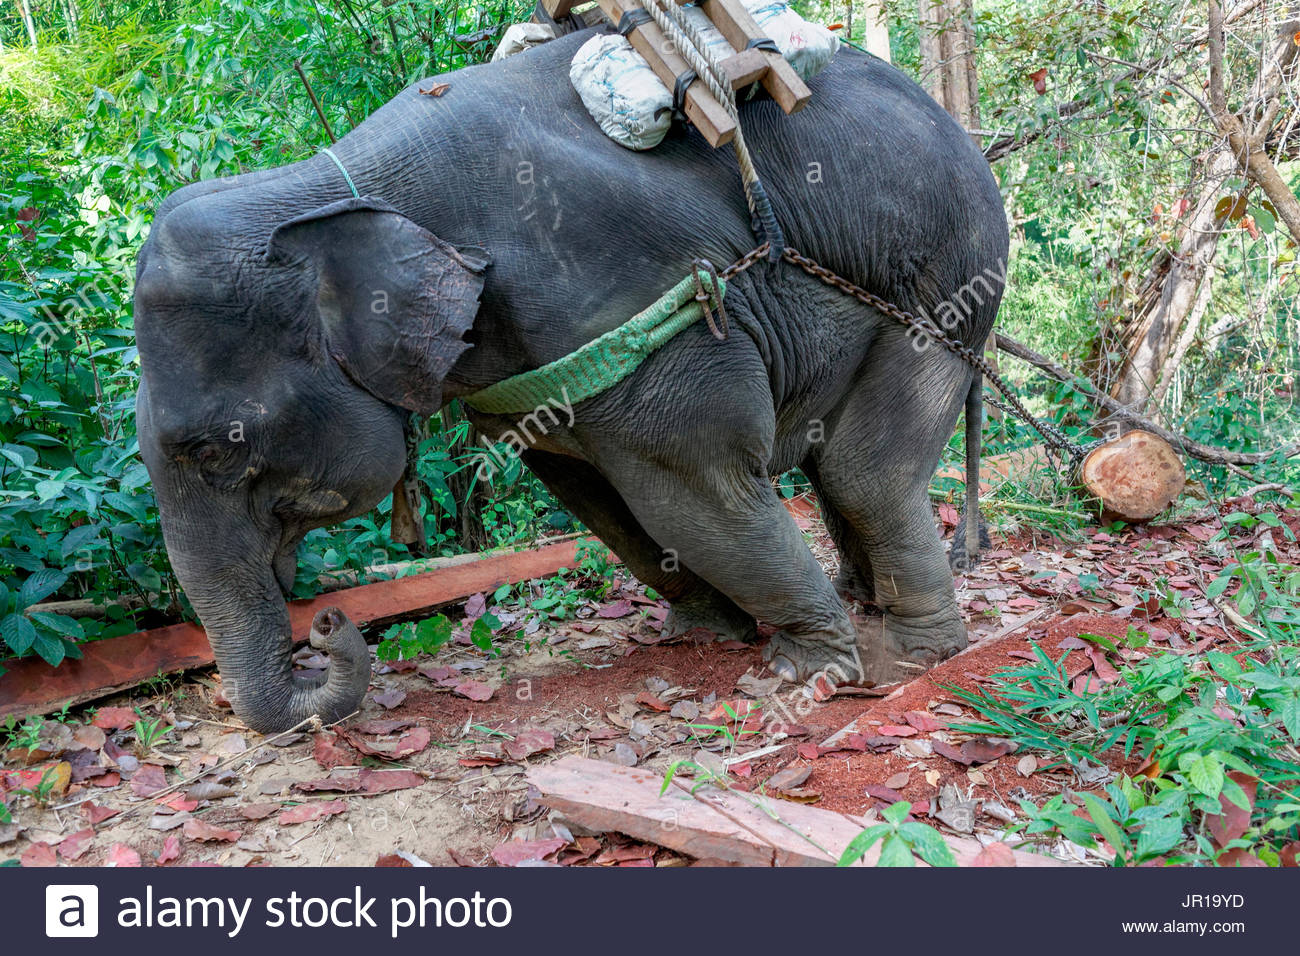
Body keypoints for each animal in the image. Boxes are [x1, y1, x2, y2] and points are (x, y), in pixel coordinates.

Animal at [132, 27, 1008, 733]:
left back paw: (919, 652)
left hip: (948, 274)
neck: (324, 186)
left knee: (864, 471)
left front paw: (807, 667)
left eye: (213, 450)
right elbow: (603, 503)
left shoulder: (639, 304)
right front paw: (701, 631)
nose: (328, 623)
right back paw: (865, 602)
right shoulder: (523, 371)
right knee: (834, 468)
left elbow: (701, 491)